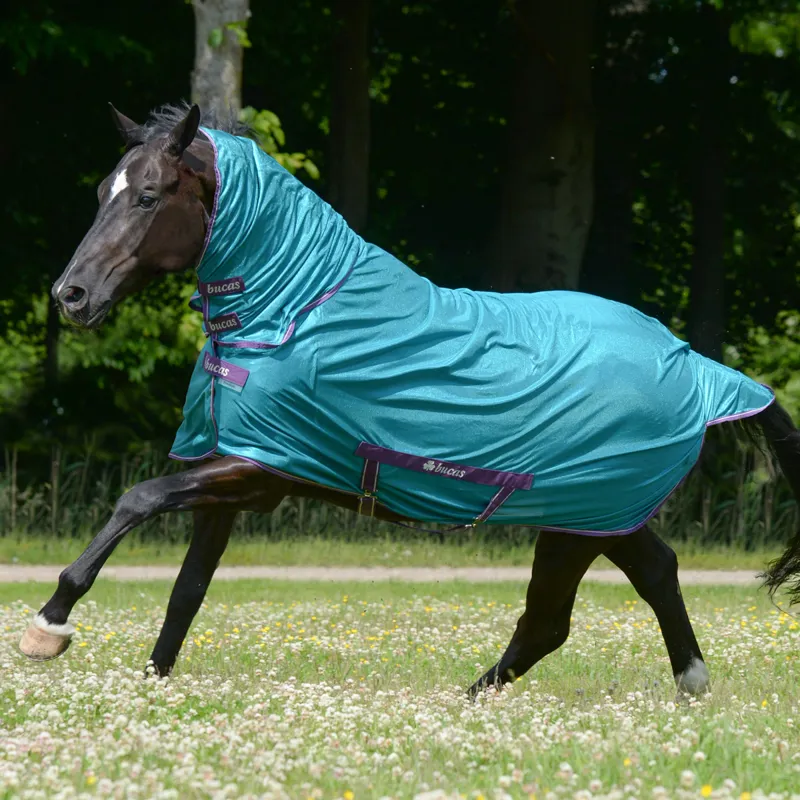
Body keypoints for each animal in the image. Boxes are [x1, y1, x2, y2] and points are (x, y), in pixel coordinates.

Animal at [20, 102, 800, 699]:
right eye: (103, 190)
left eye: (149, 195)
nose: (70, 295)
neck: (294, 307)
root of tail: (699, 368)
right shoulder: (229, 479)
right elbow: (187, 591)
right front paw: (151, 685)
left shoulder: (258, 472)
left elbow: (137, 499)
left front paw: (49, 624)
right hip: (600, 516)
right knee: (649, 576)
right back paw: (680, 686)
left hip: (582, 519)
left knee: (552, 619)